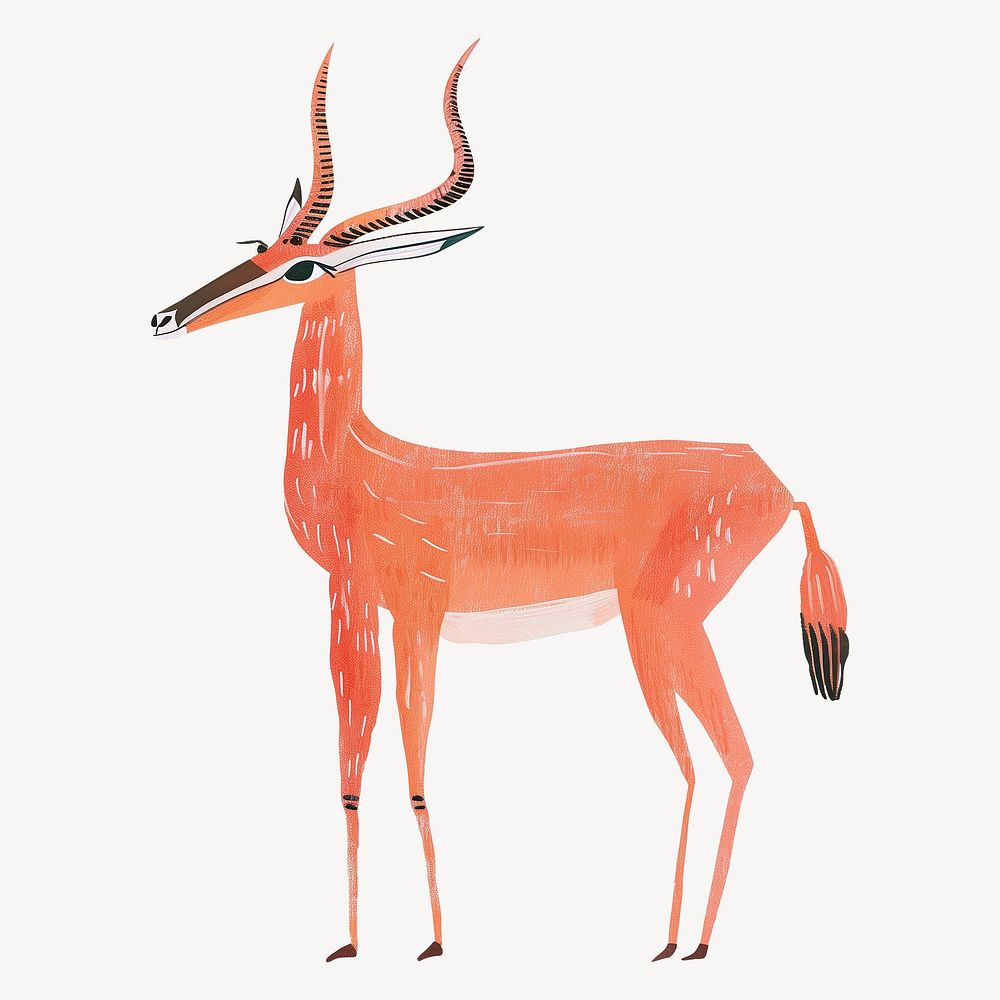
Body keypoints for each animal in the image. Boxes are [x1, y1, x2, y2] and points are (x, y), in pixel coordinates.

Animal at [152, 41, 850, 964]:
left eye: (305, 267)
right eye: (258, 245)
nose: (165, 316)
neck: (359, 462)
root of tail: (776, 477)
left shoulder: (415, 610)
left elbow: (414, 764)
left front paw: (435, 943)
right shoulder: (349, 601)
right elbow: (349, 765)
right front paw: (350, 945)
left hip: (660, 623)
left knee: (720, 759)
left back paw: (686, 944)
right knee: (720, 759)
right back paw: (679, 942)